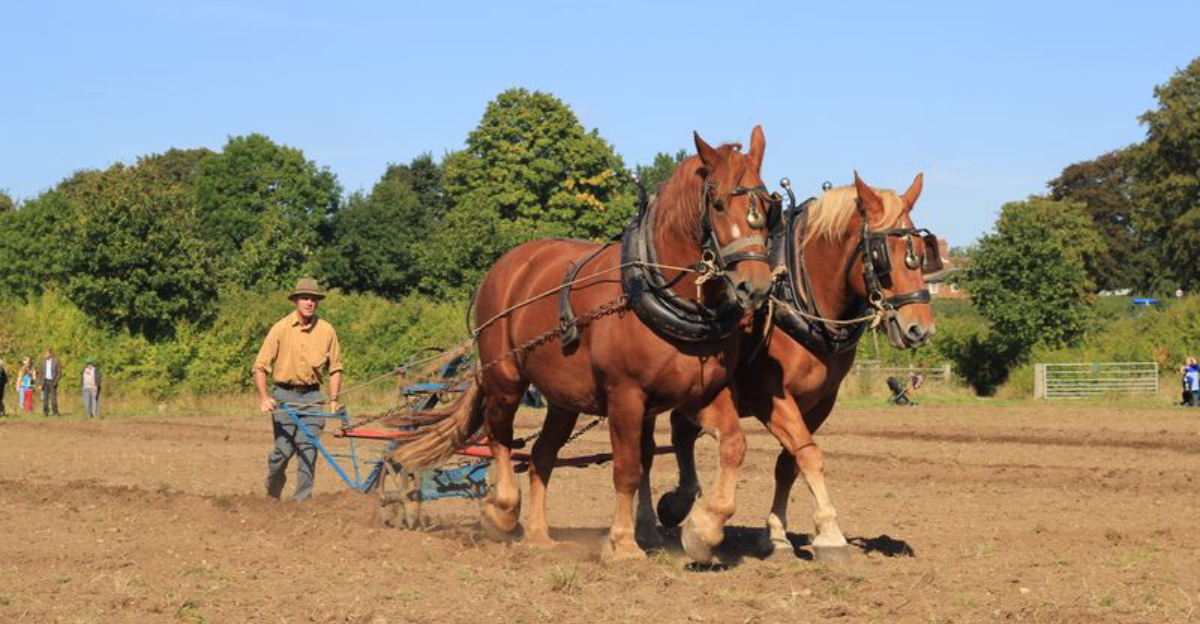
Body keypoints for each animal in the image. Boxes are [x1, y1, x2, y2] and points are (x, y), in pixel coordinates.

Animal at [390, 127, 779, 561]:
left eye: (767, 206)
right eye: (718, 203)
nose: (754, 286)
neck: (661, 292)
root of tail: (506, 266)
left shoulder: (703, 393)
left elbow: (734, 445)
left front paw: (704, 528)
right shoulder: (625, 396)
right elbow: (626, 469)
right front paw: (623, 543)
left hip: (563, 399)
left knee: (541, 455)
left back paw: (538, 534)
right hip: (504, 379)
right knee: (499, 436)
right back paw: (501, 511)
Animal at [658, 172, 940, 563]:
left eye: (922, 252)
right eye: (882, 255)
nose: (920, 329)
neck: (799, 295)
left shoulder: (820, 401)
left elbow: (790, 462)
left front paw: (776, 536)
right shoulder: (769, 396)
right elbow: (810, 456)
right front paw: (830, 534)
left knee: (680, 430)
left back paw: (679, 503)